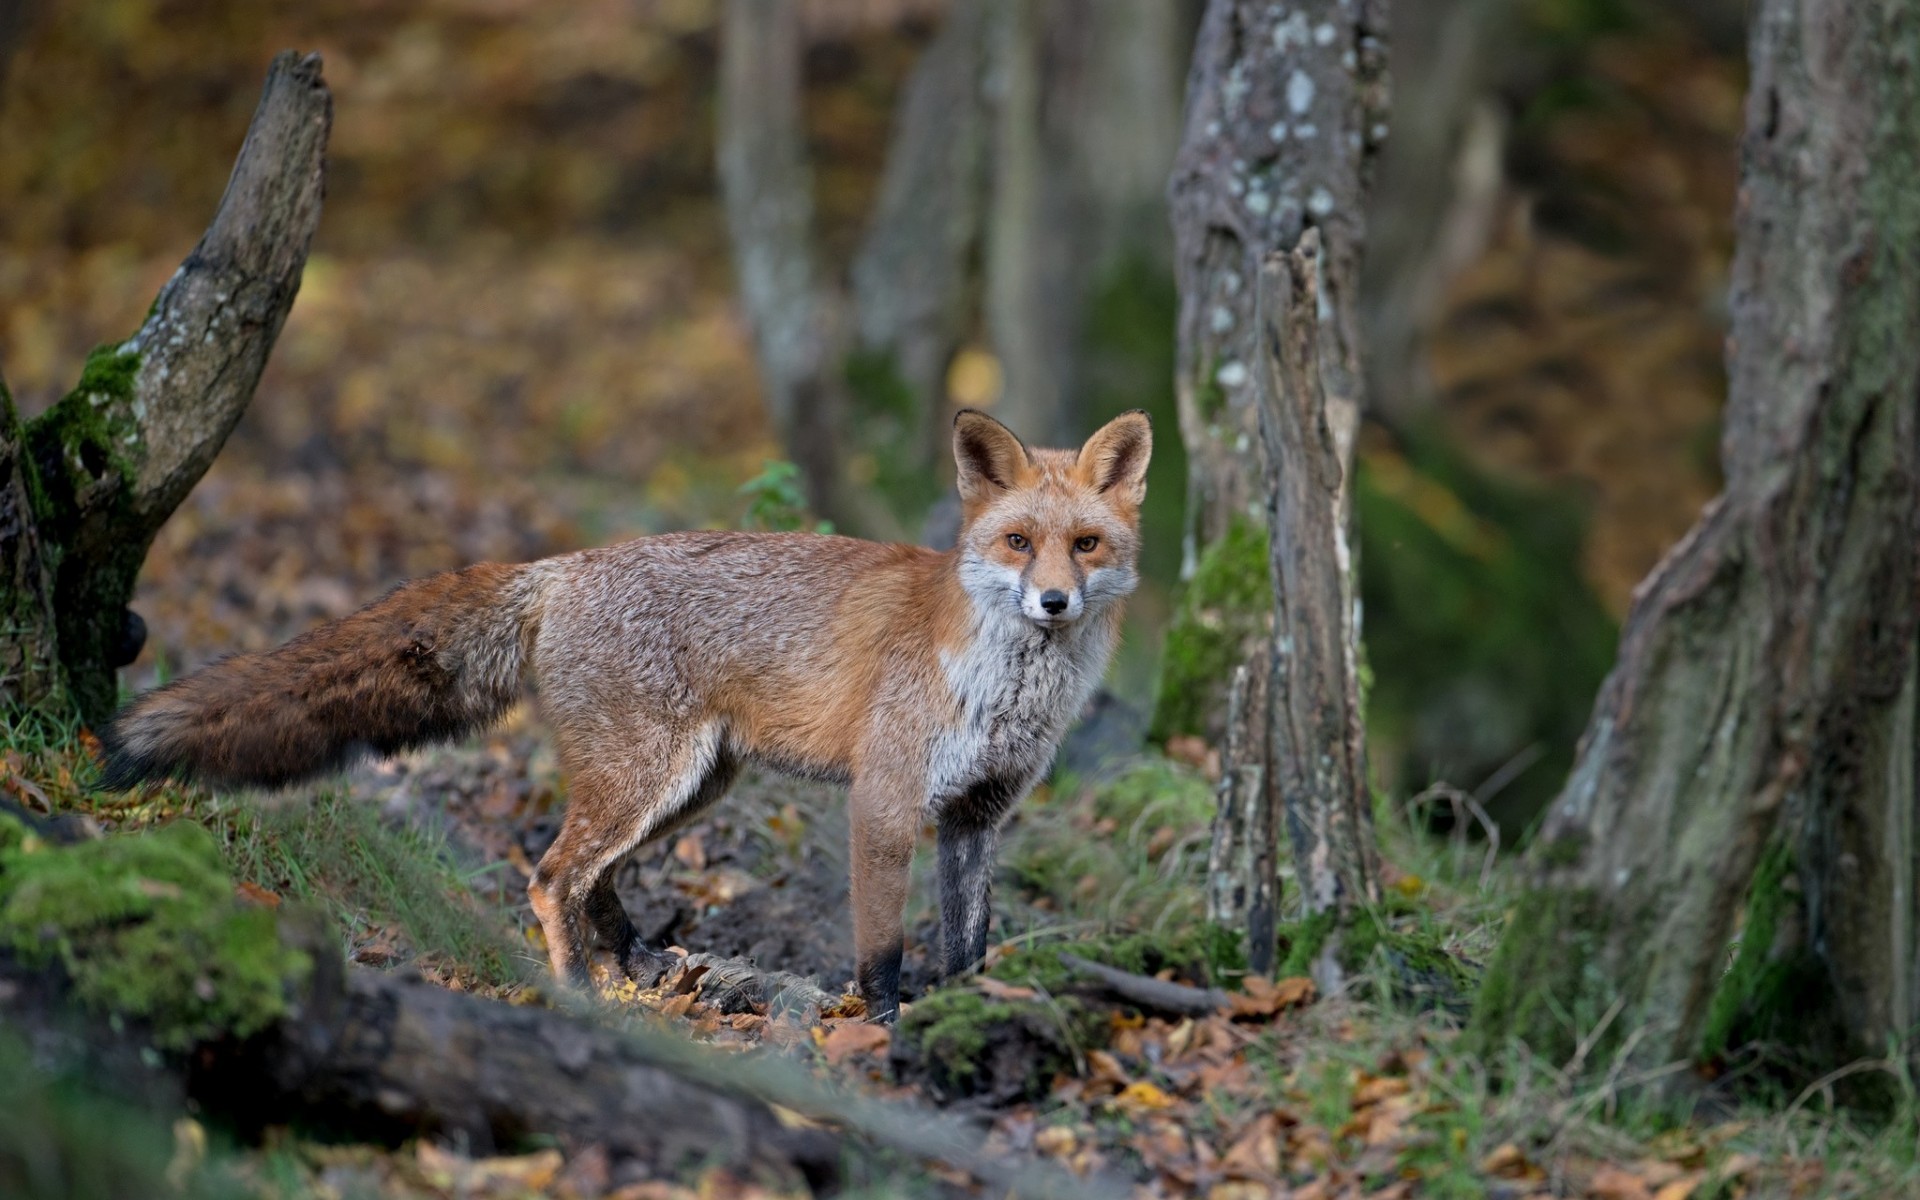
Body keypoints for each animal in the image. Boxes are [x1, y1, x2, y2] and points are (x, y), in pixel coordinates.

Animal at [99, 408, 1151, 1020]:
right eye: (1017, 542)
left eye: (1086, 545)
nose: (1054, 602)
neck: (1003, 686)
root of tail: (560, 566)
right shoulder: (885, 804)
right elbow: (883, 953)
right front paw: (886, 1036)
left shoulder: (977, 815)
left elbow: (970, 943)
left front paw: (971, 1017)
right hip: (652, 777)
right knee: (550, 876)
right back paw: (579, 991)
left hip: (690, 783)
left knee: (592, 877)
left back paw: (637, 960)